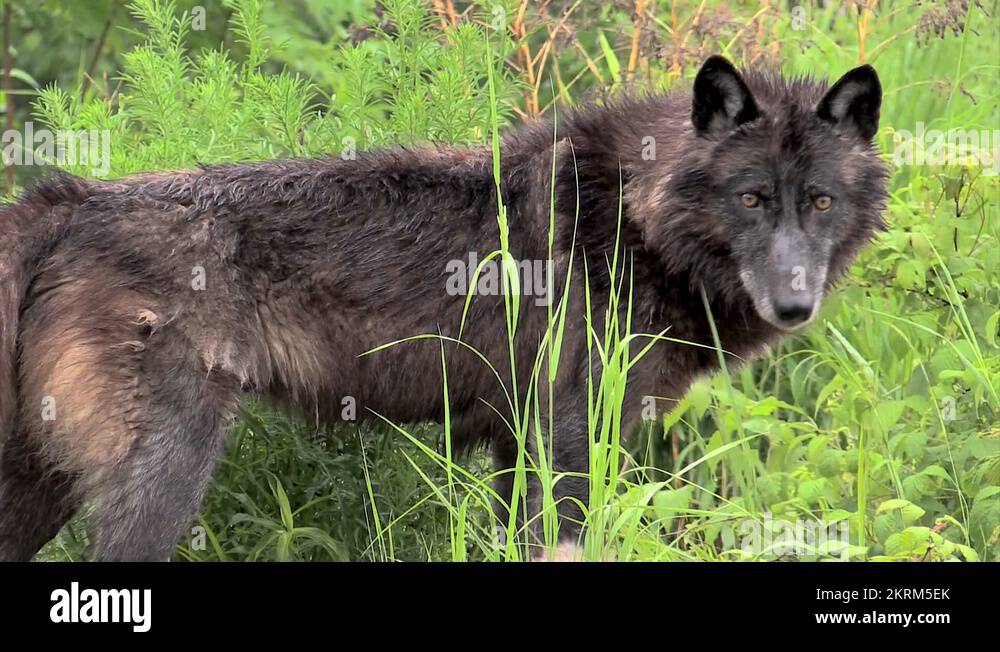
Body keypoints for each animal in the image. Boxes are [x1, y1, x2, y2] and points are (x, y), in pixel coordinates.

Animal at [0, 56, 887, 561]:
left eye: (819, 200)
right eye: (750, 198)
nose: (794, 304)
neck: (633, 222)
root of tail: (70, 199)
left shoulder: (517, 449)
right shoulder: (565, 446)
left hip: (45, 483)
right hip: (164, 475)